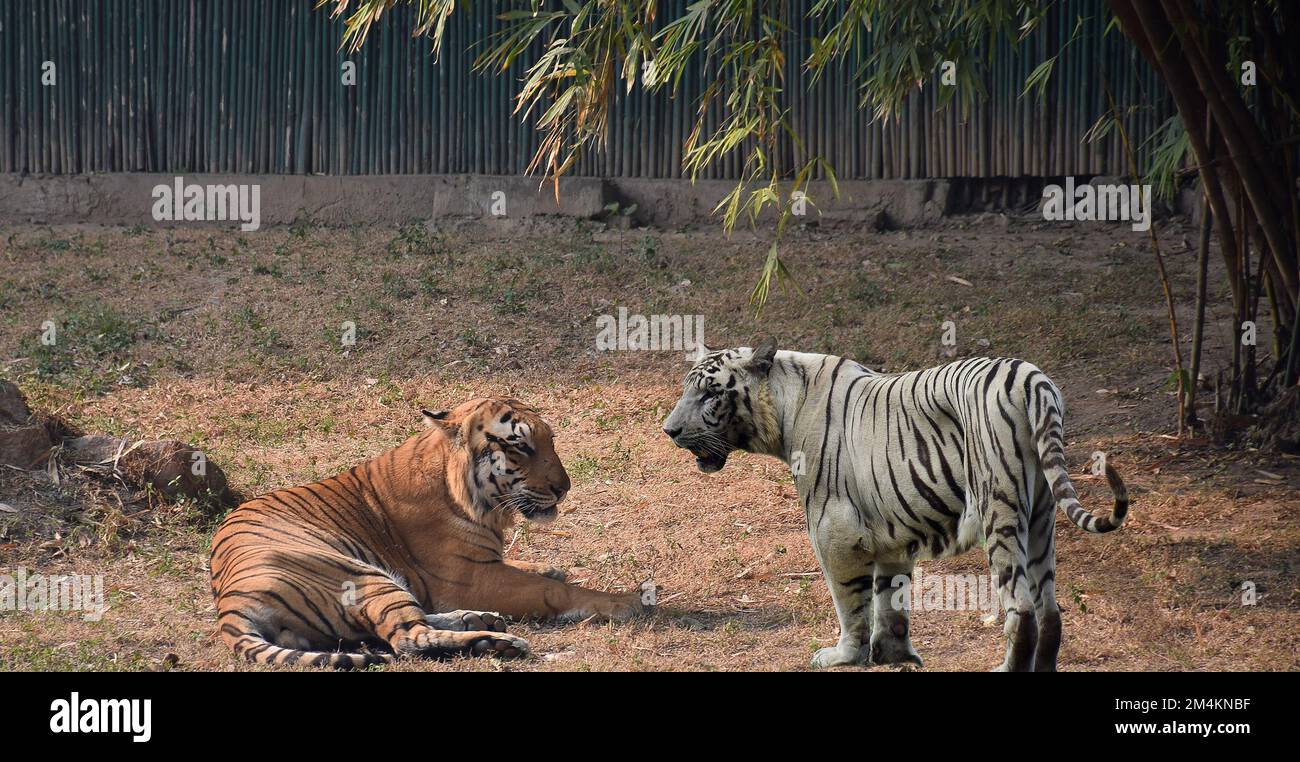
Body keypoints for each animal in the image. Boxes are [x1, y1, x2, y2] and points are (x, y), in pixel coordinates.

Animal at [210, 397, 645, 668]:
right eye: (520, 447)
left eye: (550, 440)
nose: (563, 488)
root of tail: (229, 603)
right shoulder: (471, 577)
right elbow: (557, 592)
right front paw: (627, 602)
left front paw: (546, 566)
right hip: (358, 574)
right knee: (407, 639)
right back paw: (497, 640)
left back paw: (481, 620)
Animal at [661, 342, 1128, 671]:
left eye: (710, 395)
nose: (669, 430)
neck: (785, 406)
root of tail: (1033, 380)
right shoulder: (891, 534)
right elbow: (891, 601)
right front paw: (894, 655)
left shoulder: (834, 532)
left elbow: (851, 603)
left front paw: (844, 656)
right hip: (1041, 519)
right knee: (1050, 612)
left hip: (1001, 510)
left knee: (1023, 611)